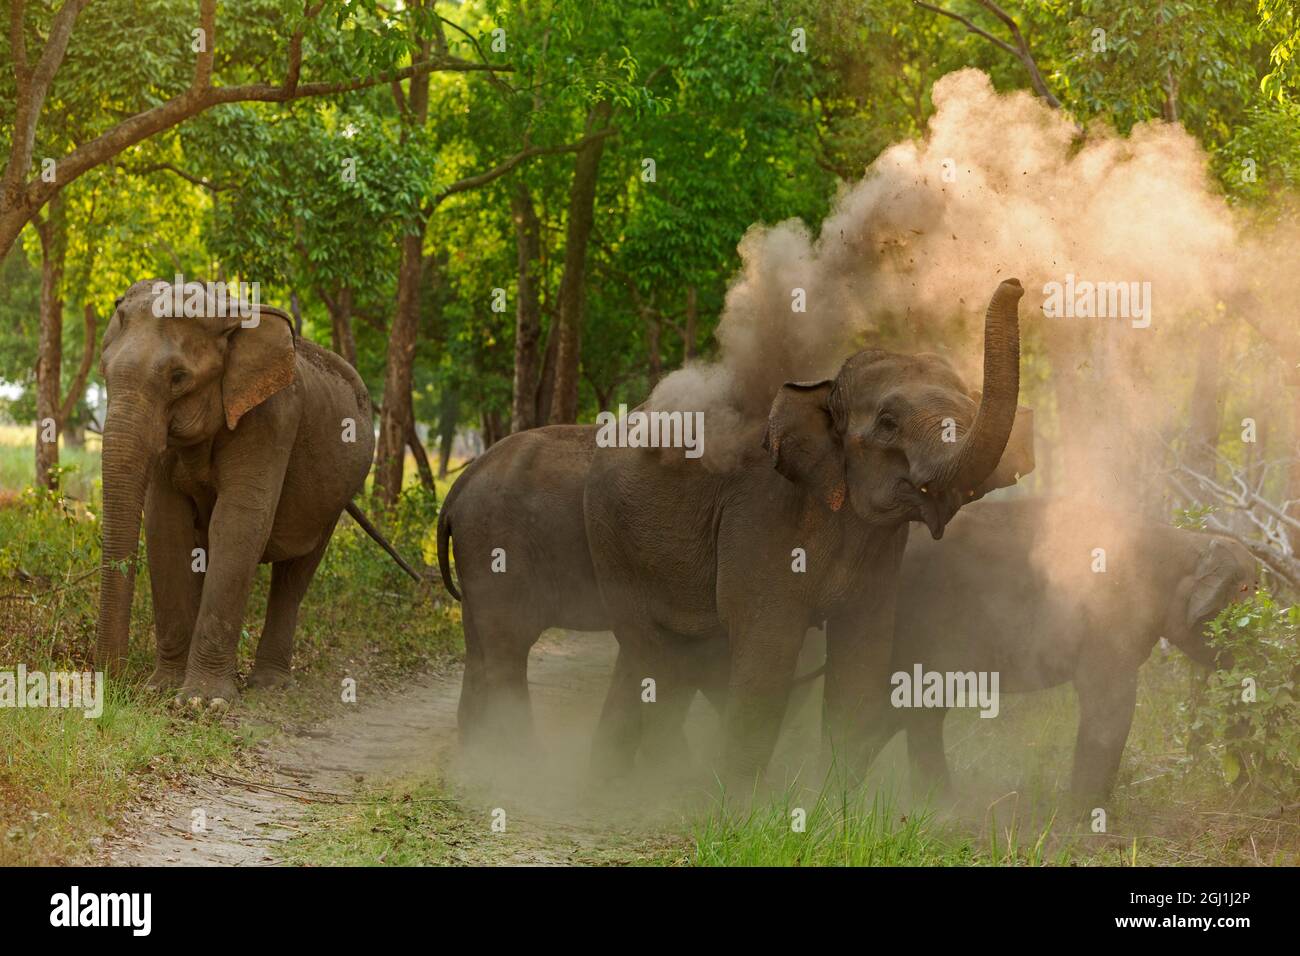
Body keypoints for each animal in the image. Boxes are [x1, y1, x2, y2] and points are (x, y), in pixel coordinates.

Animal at [95, 279, 417, 709]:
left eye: (178, 377)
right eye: (104, 372)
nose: (113, 684)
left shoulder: (272, 417)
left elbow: (238, 523)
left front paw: (202, 702)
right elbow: (167, 527)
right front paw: (162, 689)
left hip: (336, 494)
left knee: (295, 573)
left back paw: (269, 685)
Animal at [581, 277, 1033, 786]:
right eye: (888, 423)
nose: (1015, 283)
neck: (825, 387)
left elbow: (862, 660)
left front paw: (832, 800)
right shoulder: (759, 513)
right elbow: (768, 655)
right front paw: (734, 800)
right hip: (607, 537)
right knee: (657, 661)